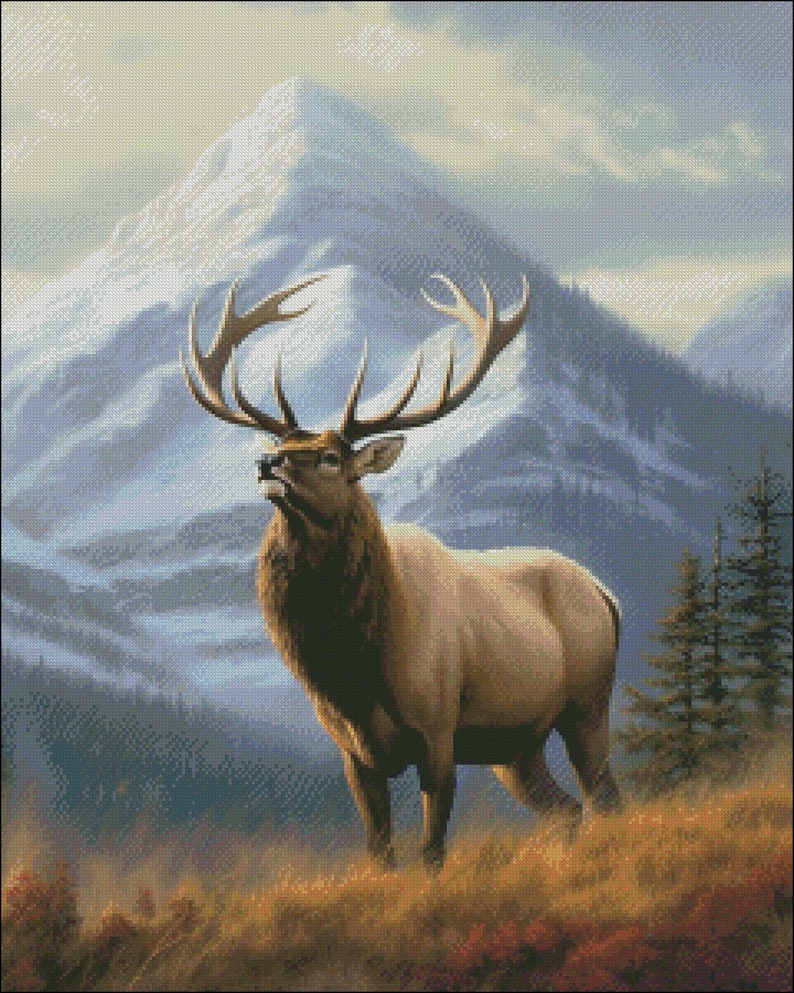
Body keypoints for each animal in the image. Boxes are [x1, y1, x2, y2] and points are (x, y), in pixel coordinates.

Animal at [180, 272, 622, 871]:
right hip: (514, 745)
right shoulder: (354, 753)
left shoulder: (437, 731)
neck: (357, 675)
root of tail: (605, 593)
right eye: (283, 444)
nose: (266, 464)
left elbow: (432, 853)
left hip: (587, 703)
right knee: (567, 809)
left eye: (329, 457)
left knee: (606, 797)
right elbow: (380, 853)